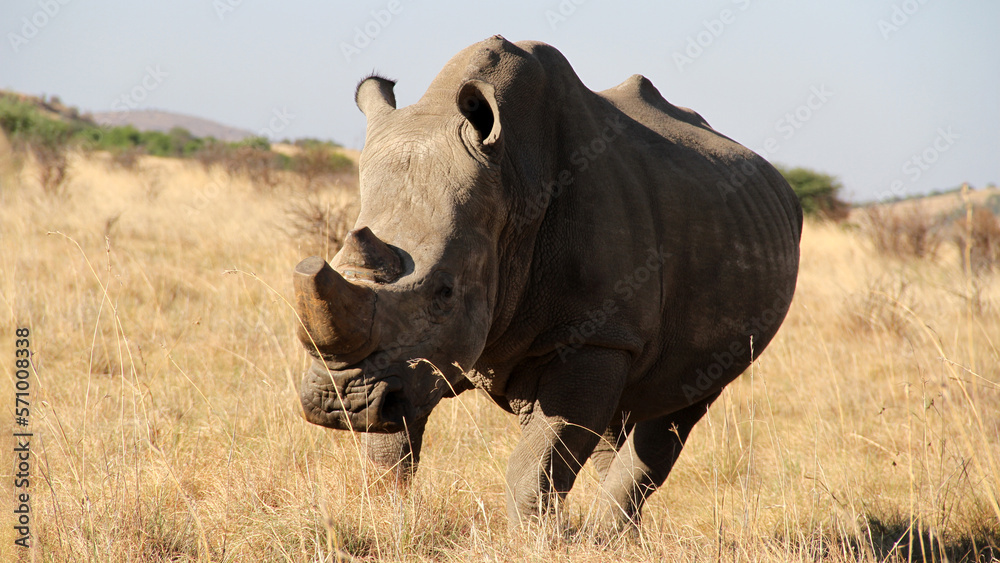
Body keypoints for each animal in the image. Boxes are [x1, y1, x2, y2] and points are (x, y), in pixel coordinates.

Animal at [293, 36, 801, 530]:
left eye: (445, 293)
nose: (339, 404)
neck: (514, 183)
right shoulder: (412, 361)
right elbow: (391, 450)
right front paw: (388, 518)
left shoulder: (595, 335)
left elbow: (536, 462)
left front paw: (535, 539)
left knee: (678, 407)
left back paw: (610, 536)